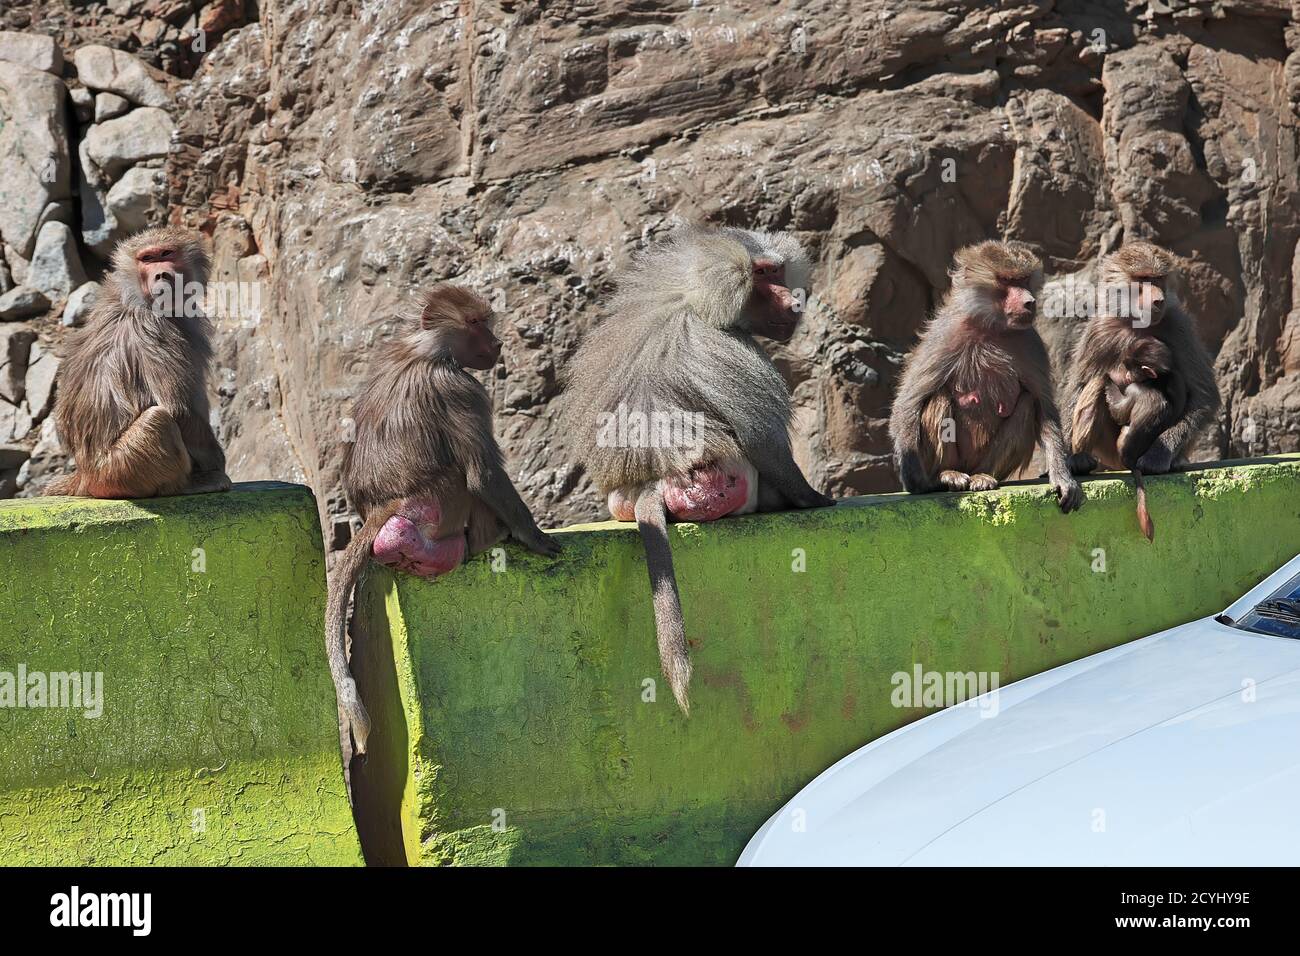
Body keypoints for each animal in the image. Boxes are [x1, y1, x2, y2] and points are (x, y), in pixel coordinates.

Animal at [45, 226, 231, 499]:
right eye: (148, 259)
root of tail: (84, 475)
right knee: (158, 421)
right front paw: (216, 462)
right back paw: (184, 486)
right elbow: (178, 409)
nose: (161, 274)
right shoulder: (156, 327)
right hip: (119, 470)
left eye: (166, 253)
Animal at [326, 284, 560, 755]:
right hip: (443, 510)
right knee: (464, 477)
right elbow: (483, 474)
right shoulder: (462, 389)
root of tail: (384, 509)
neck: (428, 350)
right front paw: (534, 535)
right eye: (476, 323)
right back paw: (493, 537)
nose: (498, 344)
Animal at [561, 225, 833, 715]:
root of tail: (652, 484)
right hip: (726, 486)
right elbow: (764, 439)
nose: (793, 302)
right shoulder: (735, 348)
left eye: (775, 271)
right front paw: (816, 499)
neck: (692, 296)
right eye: (761, 276)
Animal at [888, 240, 1082, 513]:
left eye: (1023, 280)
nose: (1030, 302)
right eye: (1006, 280)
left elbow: (1044, 409)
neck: (991, 327)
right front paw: (913, 478)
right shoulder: (943, 334)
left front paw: (1063, 478)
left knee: (1026, 404)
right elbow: (909, 400)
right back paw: (948, 475)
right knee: (938, 399)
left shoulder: (1030, 341)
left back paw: (983, 477)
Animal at [1063, 242, 1221, 538]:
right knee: (1093, 385)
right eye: (1143, 279)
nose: (1158, 300)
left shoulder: (1179, 325)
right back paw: (1082, 458)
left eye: (1158, 279)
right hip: (1109, 450)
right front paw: (1067, 459)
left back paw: (1174, 459)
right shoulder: (1099, 329)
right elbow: (1078, 385)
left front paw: (1158, 455)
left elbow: (1204, 395)